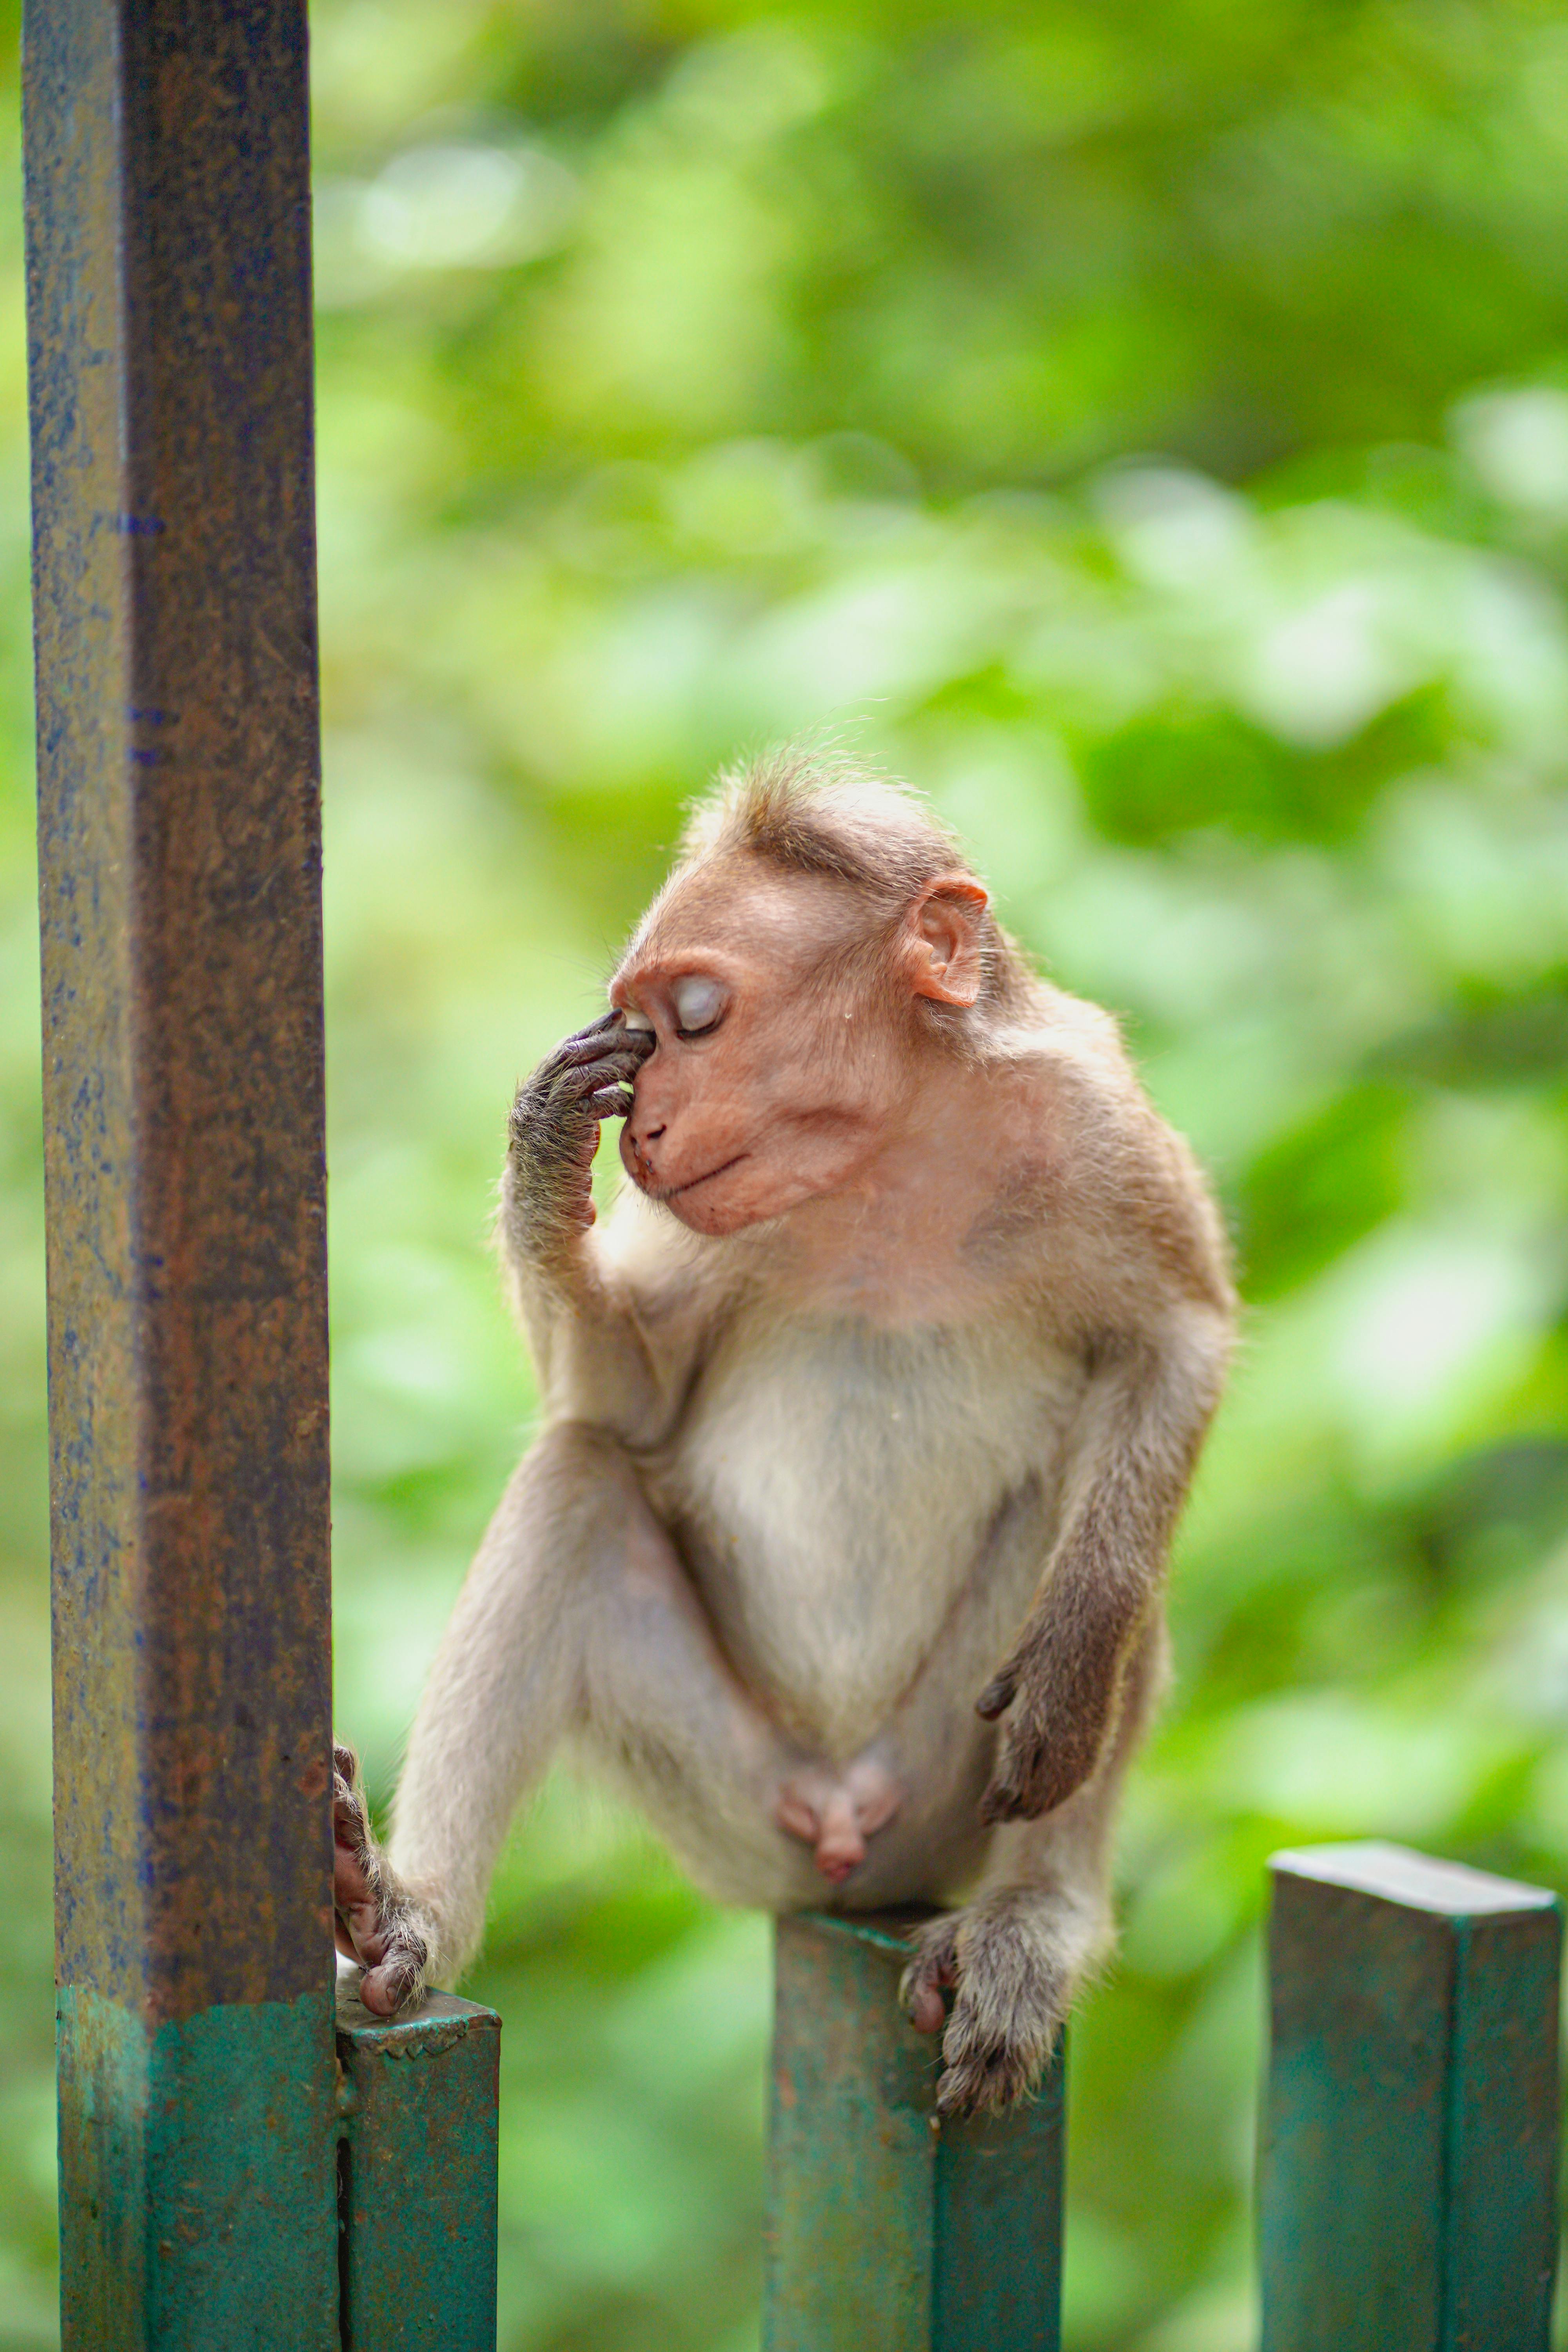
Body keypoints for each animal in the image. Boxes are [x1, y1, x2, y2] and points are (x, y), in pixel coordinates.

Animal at [333, 750, 1234, 2115]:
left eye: (697, 1015)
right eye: (638, 1032)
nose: (646, 1121)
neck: (890, 1149)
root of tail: (845, 1828)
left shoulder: (1090, 1116)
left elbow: (1177, 1335)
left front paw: (1076, 1659)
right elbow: (623, 1407)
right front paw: (547, 1141)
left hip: (941, 1784)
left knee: (1098, 1537)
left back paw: (1037, 1915)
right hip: (733, 1803)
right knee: (580, 1480)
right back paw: (409, 1913)